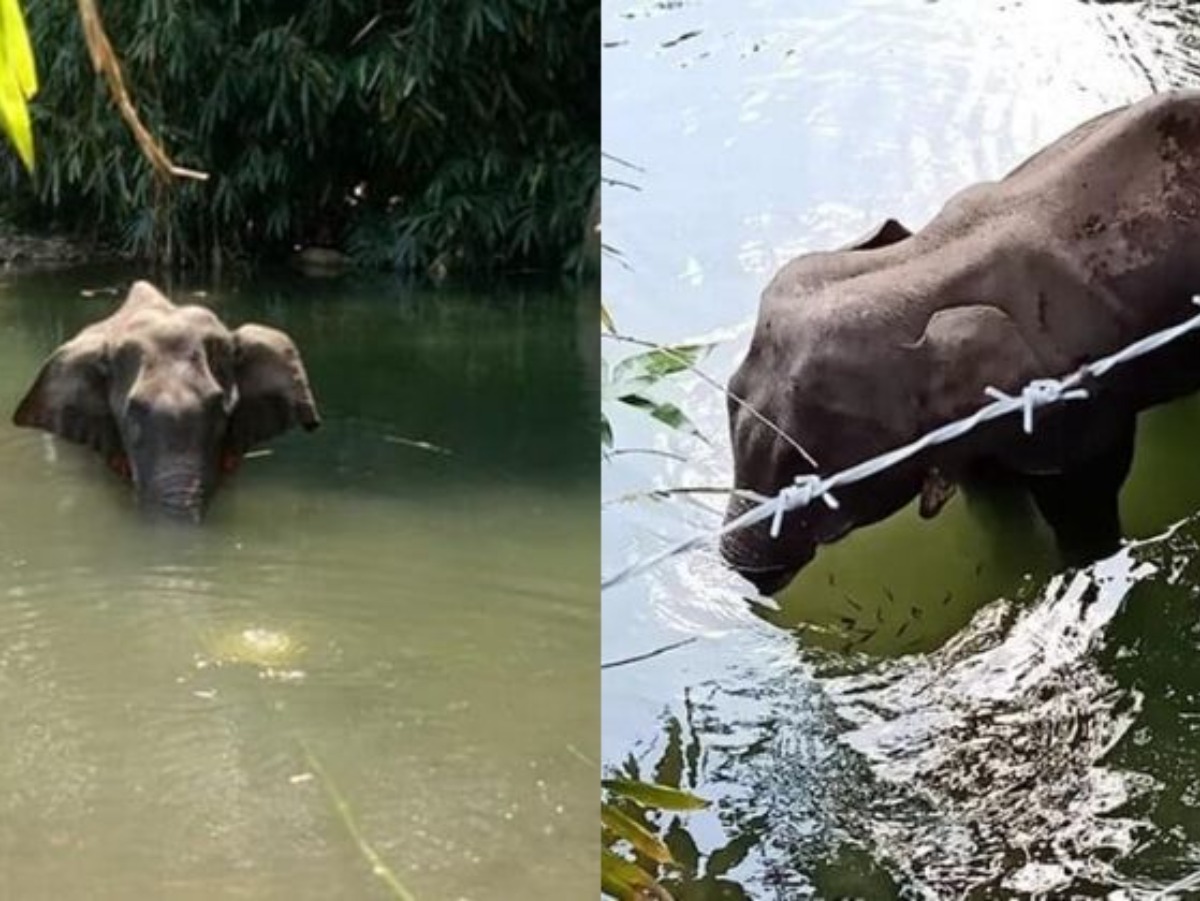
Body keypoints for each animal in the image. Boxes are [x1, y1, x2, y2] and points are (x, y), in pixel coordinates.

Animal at [722, 89, 1200, 595]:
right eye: (731, 395)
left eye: (811, 477)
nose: (756, 582)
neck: (928, 259)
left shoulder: (1076, 405)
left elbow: (1084, 500)